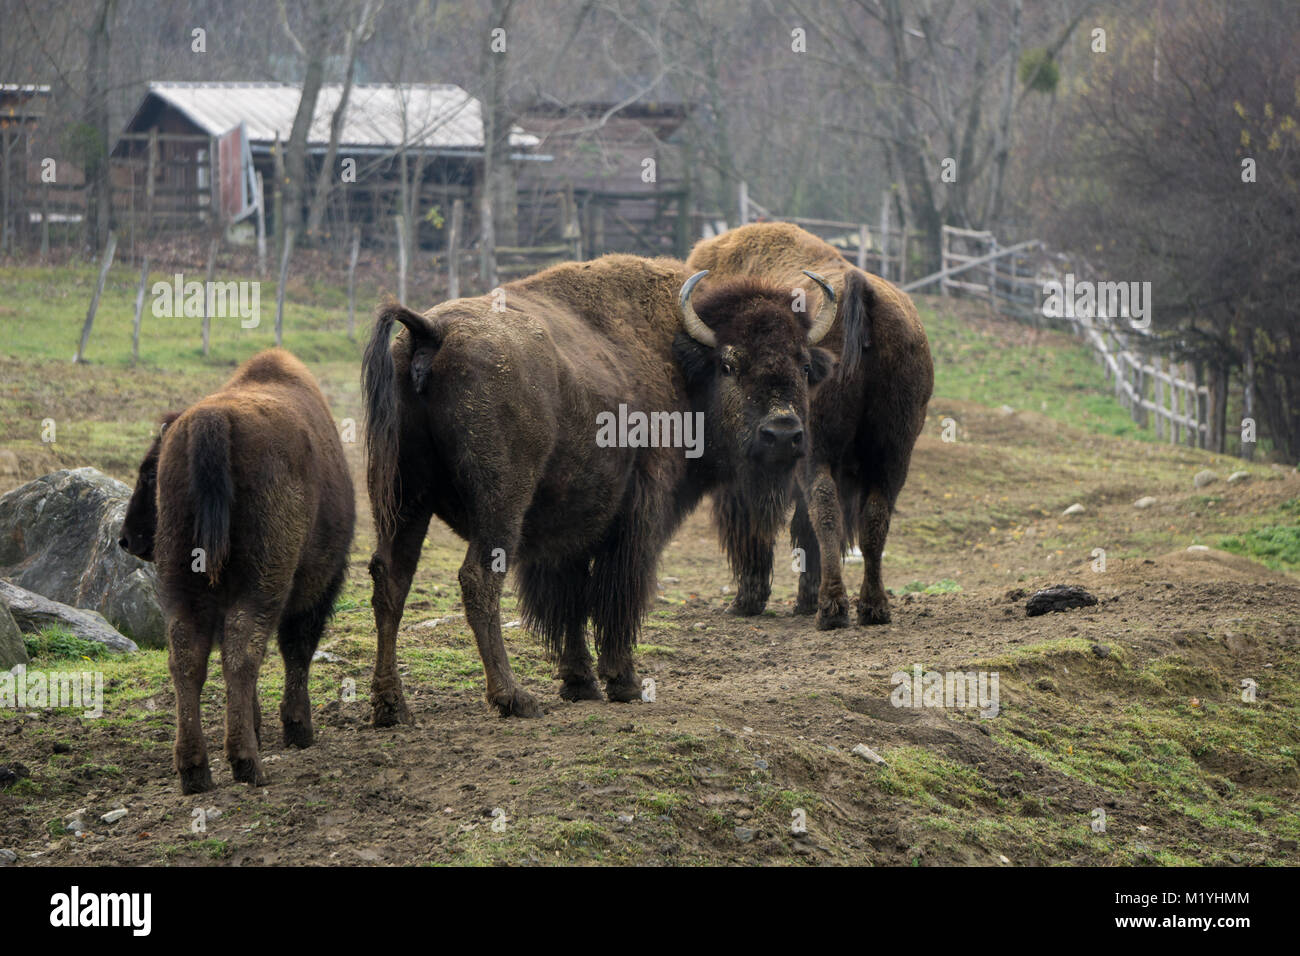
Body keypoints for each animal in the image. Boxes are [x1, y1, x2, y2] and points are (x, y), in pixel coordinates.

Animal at [120, 349, 355, 793]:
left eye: (148, 473)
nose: (126, 539)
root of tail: (212, 420)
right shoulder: (316, 589)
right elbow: (296, 650)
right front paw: (298, 728)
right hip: (263, 582)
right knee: (243, 652)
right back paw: (247, 763)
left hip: (184, 589)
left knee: (187, 659)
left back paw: (195, 771)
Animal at [361, 253, 836, 723]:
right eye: (729, 364)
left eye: (804, 365)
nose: (782, 433)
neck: (679, 364)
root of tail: (431, 331)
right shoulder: (639, 516)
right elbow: (617, 591)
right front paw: (623, 682)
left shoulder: (565, 529)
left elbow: (570, 601)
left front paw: (580, 683)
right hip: (499, 506)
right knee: (478, 579)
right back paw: (513, 698)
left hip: (402, 500)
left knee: (391, 579)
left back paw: (391, 705)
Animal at [687, 222, 934, 629]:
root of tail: (858, 291)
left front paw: (746, 602)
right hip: (894, 453)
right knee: (874, 519)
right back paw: (872, 607)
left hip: (817, 452)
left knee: (825, 511)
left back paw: (831, 610)